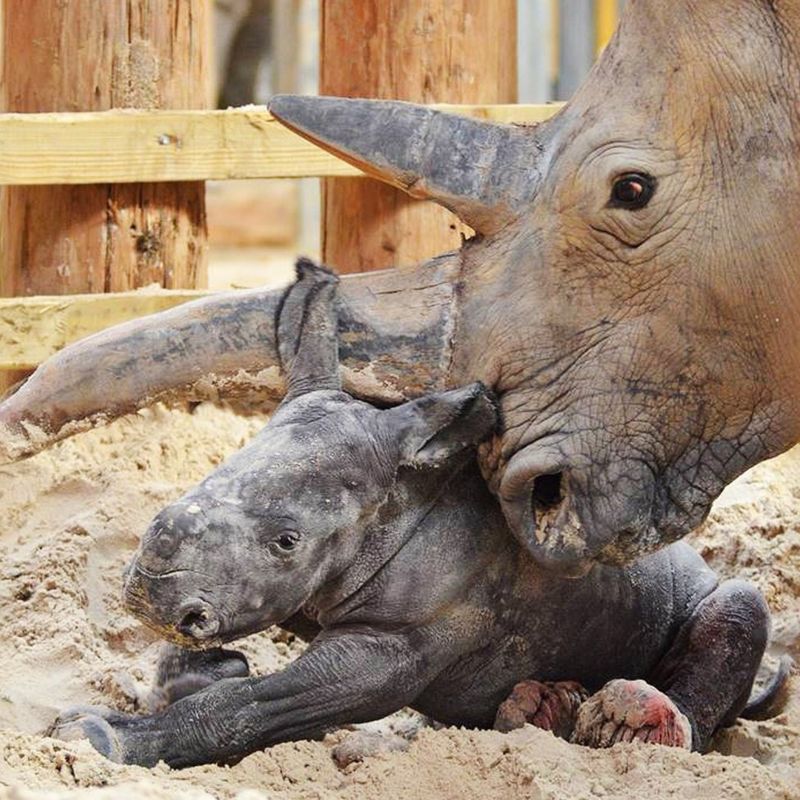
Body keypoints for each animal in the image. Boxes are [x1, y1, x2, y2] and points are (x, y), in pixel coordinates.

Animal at [51, 263, 785, 768]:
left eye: (287, 541)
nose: (148, 594)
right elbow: (211, 667)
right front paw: (201, 670)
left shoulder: (397, 641)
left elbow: (253, 705)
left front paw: (97, 736)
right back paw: (537, 709)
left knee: (737, 606)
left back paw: (638, 725)